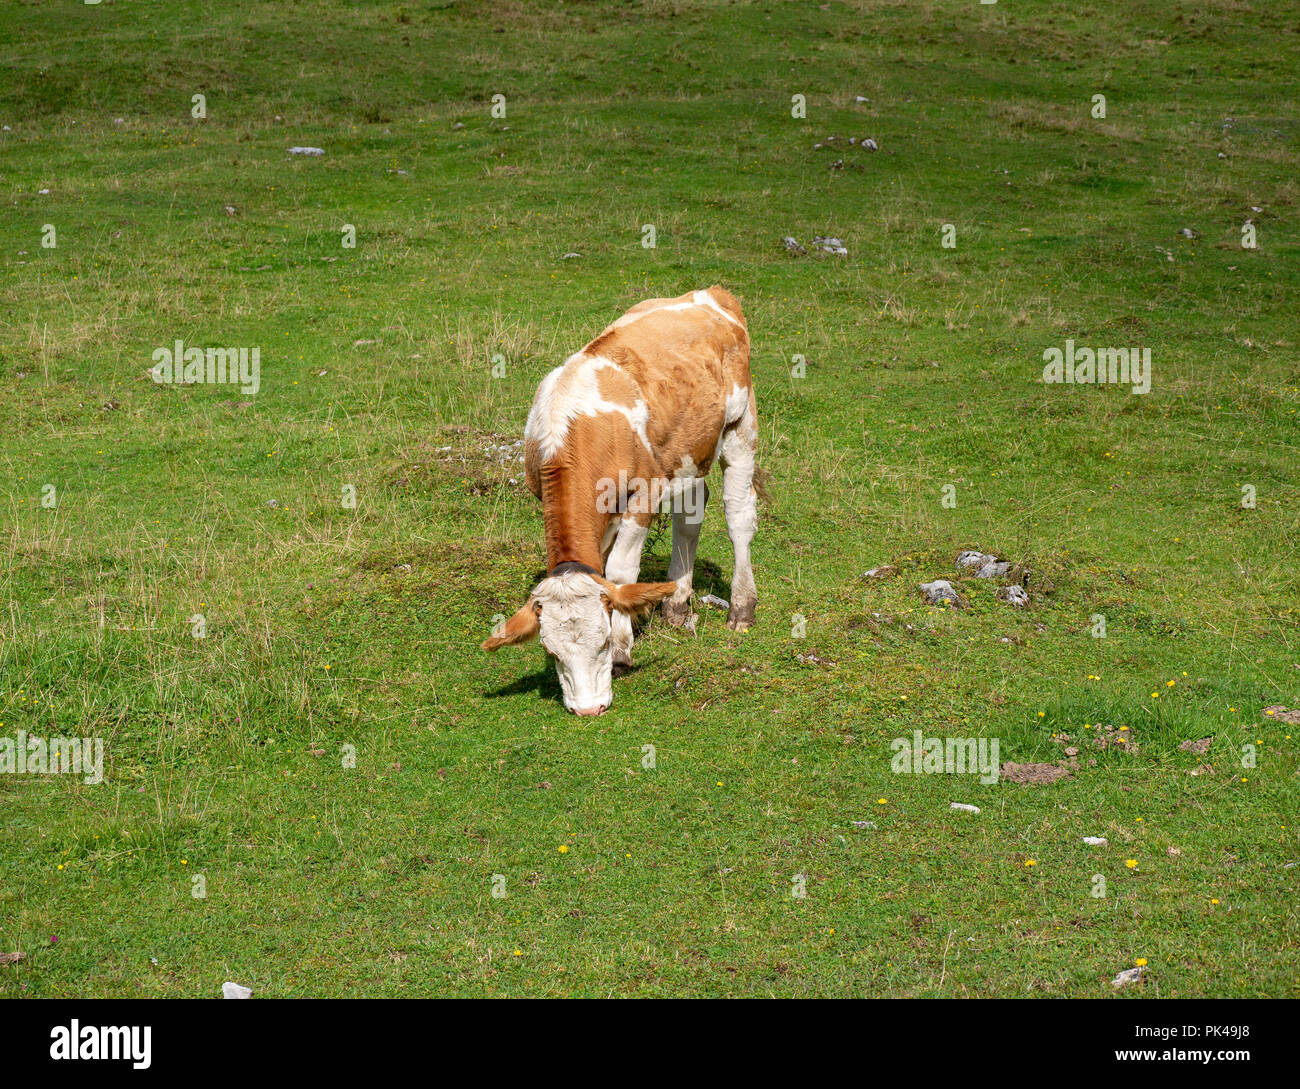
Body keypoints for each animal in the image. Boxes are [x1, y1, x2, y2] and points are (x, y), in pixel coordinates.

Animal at [482, 287, 758, 716]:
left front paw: (624, 651)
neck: (574, 429)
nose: (588, 709)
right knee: (690, 515)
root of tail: (710, 293)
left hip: (739, 426)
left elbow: (620, 572)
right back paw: (676, 604)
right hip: (688, 452)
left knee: (739, 514)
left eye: (602, 642)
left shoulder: (645, 493)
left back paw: (742, 609)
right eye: (551, 652)